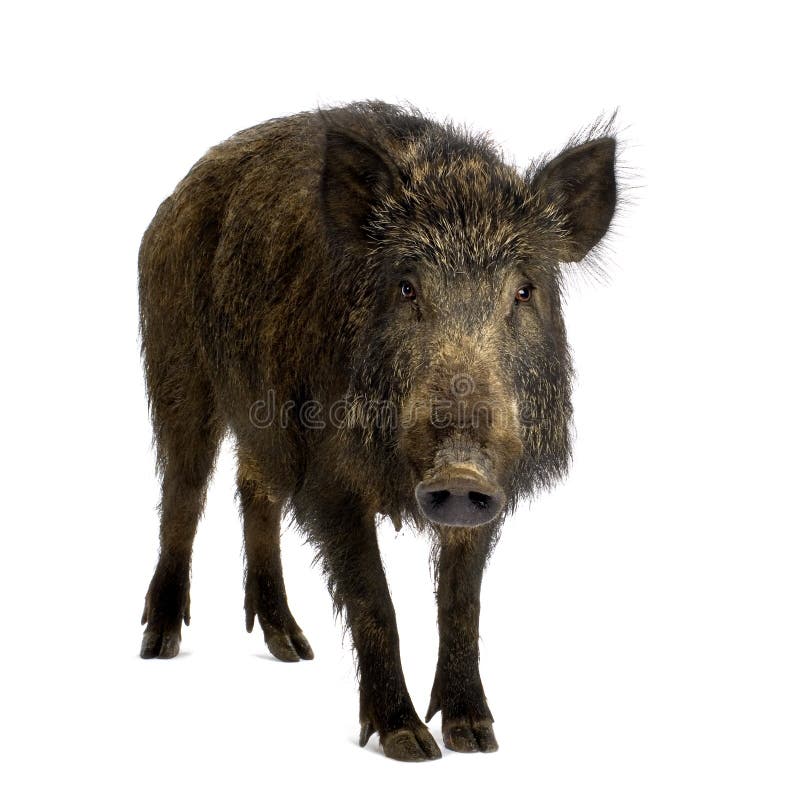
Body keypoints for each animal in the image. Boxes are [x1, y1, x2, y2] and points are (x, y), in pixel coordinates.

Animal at [138, 100, 618, 761]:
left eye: (524, 290)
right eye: (406, 287)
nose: (459, 469)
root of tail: (173, 199)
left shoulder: (488, 494)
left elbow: (461, 600)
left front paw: (476, 739)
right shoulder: (329, 478)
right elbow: (374, 600)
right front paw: (409, 745)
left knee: (253, 489)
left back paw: (293, 649)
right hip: (175, 362)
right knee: (183, 493)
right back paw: (158, 647)